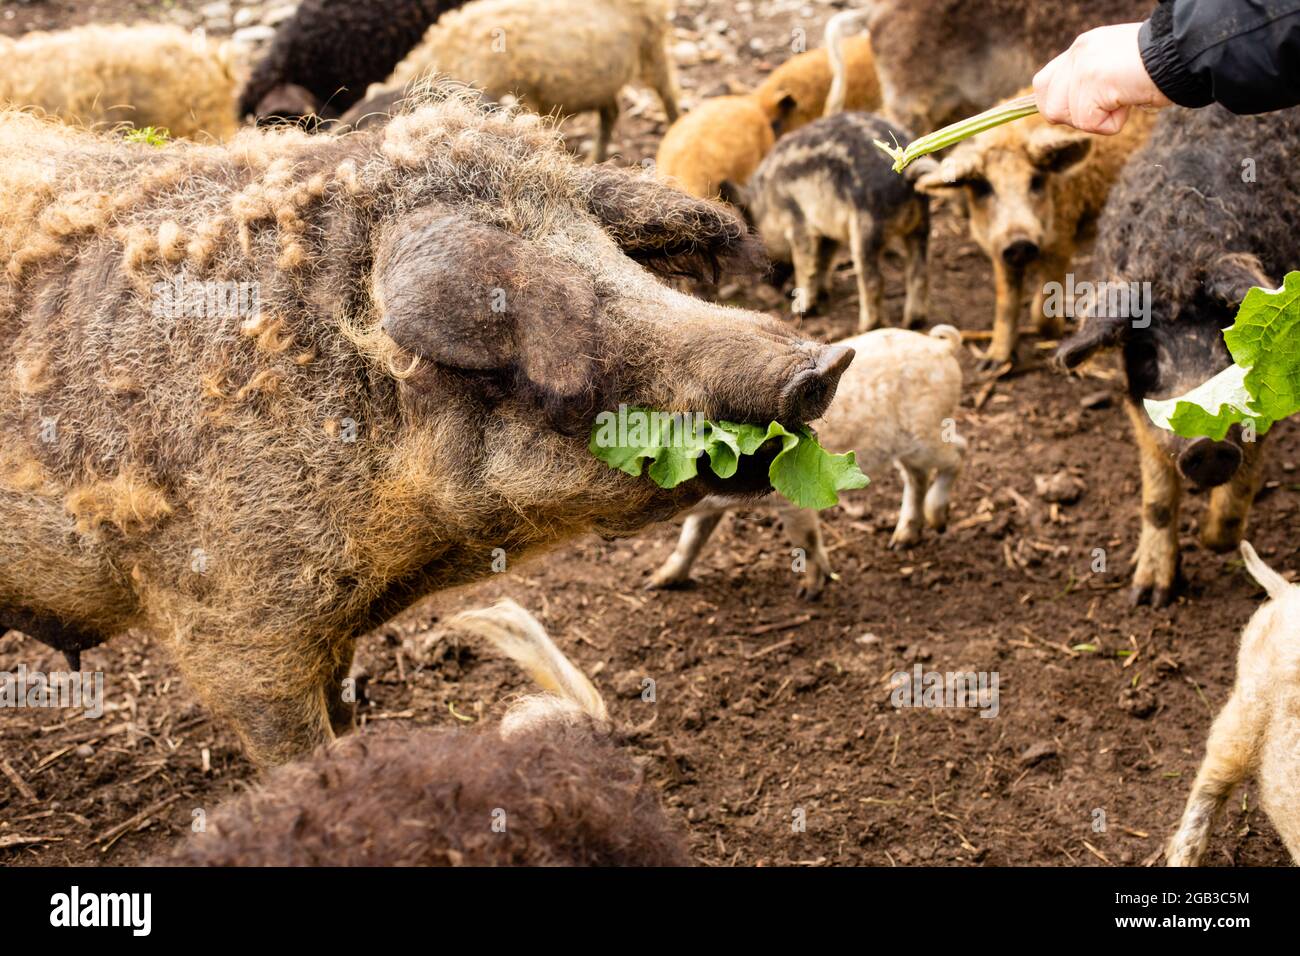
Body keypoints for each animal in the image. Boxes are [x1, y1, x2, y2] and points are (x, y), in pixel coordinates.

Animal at [0, 93, 854, 767]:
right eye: (567, 315)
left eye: (617, 259)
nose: (823, 363)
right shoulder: (230, 625)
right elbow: (291, 745)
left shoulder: (331, 627)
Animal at [649, 325, 965, 599]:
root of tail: (941, 346)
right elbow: (691, 539)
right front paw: (655, 582)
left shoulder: (792, 499)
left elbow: (806, 541)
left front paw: (808, 593)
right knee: (916, 475)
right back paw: (900, 542)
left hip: (928, 430)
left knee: (960, 452)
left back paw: (938, 521)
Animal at [740, 111, 933, 331]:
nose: (767, 282)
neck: (766, 203)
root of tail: (907, 172)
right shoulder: (828, 232)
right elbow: (823, 260)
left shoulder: (798, 221)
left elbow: (806, 265)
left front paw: (801, 309)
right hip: (920, 226)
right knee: (919, 271)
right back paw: (913, 323)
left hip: (866, 231)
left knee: (874, 280)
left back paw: (866, 327)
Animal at [915, 93, 1154, 369]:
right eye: (984, 187)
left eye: (1036, 180)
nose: (1019, 242)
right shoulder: (997, 249)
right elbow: (1005, 303)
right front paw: (990, 366)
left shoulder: (1062, 240)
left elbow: (1043, 304)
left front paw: (1056, 333)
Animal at [1055, 106, 1300, 607]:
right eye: (1149, 353)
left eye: (1226, 339)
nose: (1206, 444)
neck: (1180, 252)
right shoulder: (1135, 402)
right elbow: (1157, 498)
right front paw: (1147, 595)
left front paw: (1216, 543)